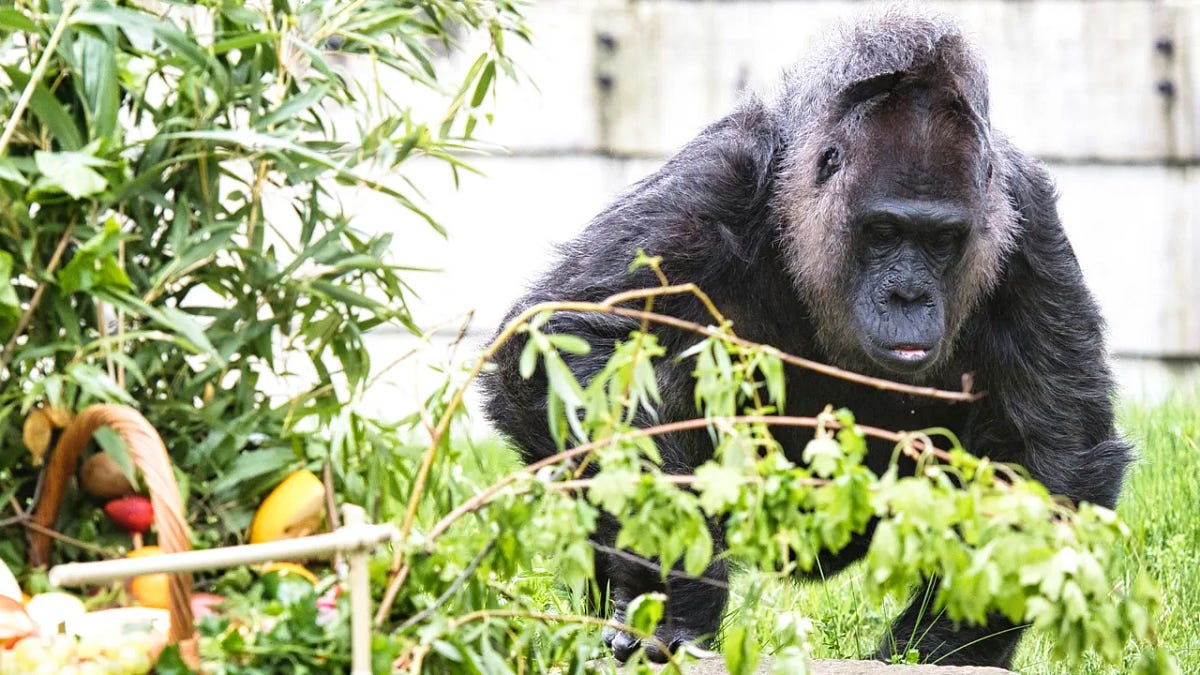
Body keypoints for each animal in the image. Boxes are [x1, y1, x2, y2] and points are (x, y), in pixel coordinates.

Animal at [479, 8, 1130, 669]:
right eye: (883, 232)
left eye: (943, 239)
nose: (908, 298)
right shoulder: (712, 181)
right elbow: (572, 340)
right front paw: (674, 580)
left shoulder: (1029, 223)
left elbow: (1051, 446)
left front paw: (948, 643)